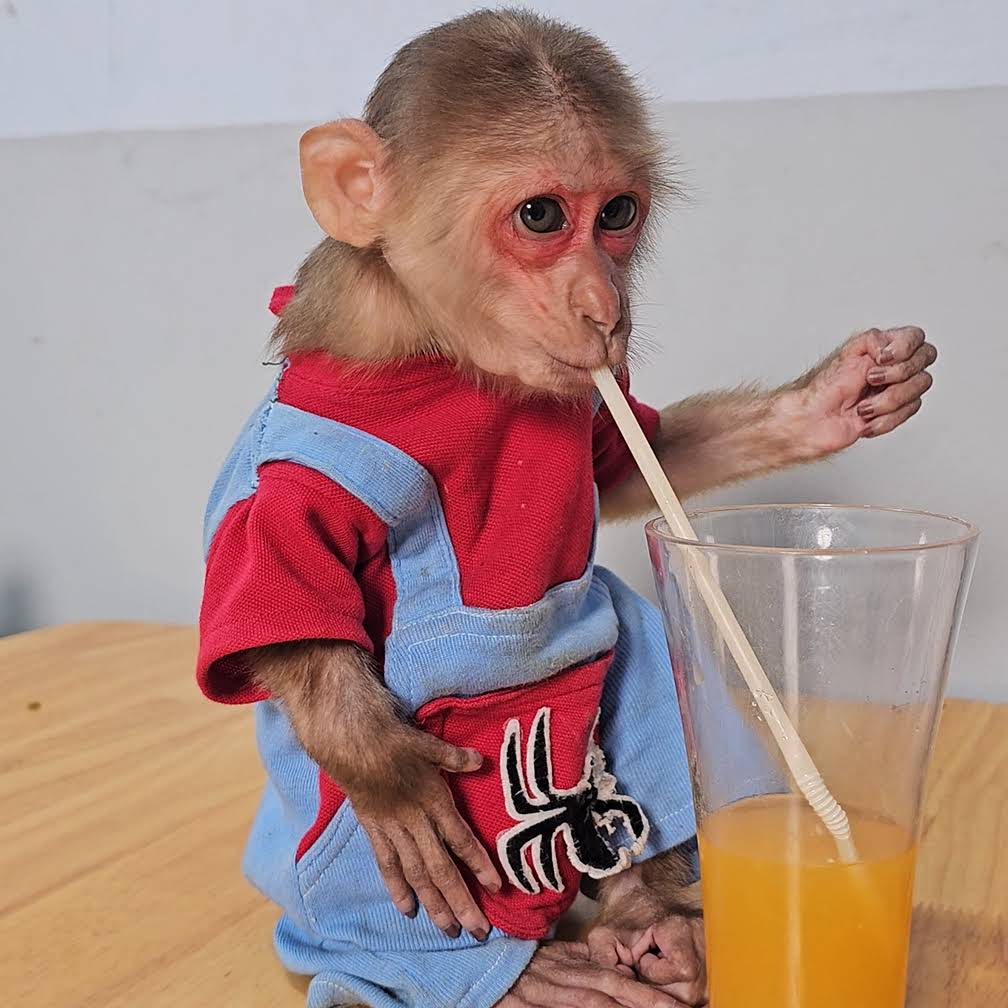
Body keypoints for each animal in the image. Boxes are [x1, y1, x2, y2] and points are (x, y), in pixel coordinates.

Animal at [196, 10, 937, 1008]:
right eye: (541, 217)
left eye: (616, 215)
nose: (603, 306)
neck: (448, 358)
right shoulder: (324, 438)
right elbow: (281, 589)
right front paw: (388, 769)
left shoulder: (586, 399)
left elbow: (629, 462)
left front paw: (832, 400)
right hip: (342, 881)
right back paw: (502, 973)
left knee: (627, 629)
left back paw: (645, 912)